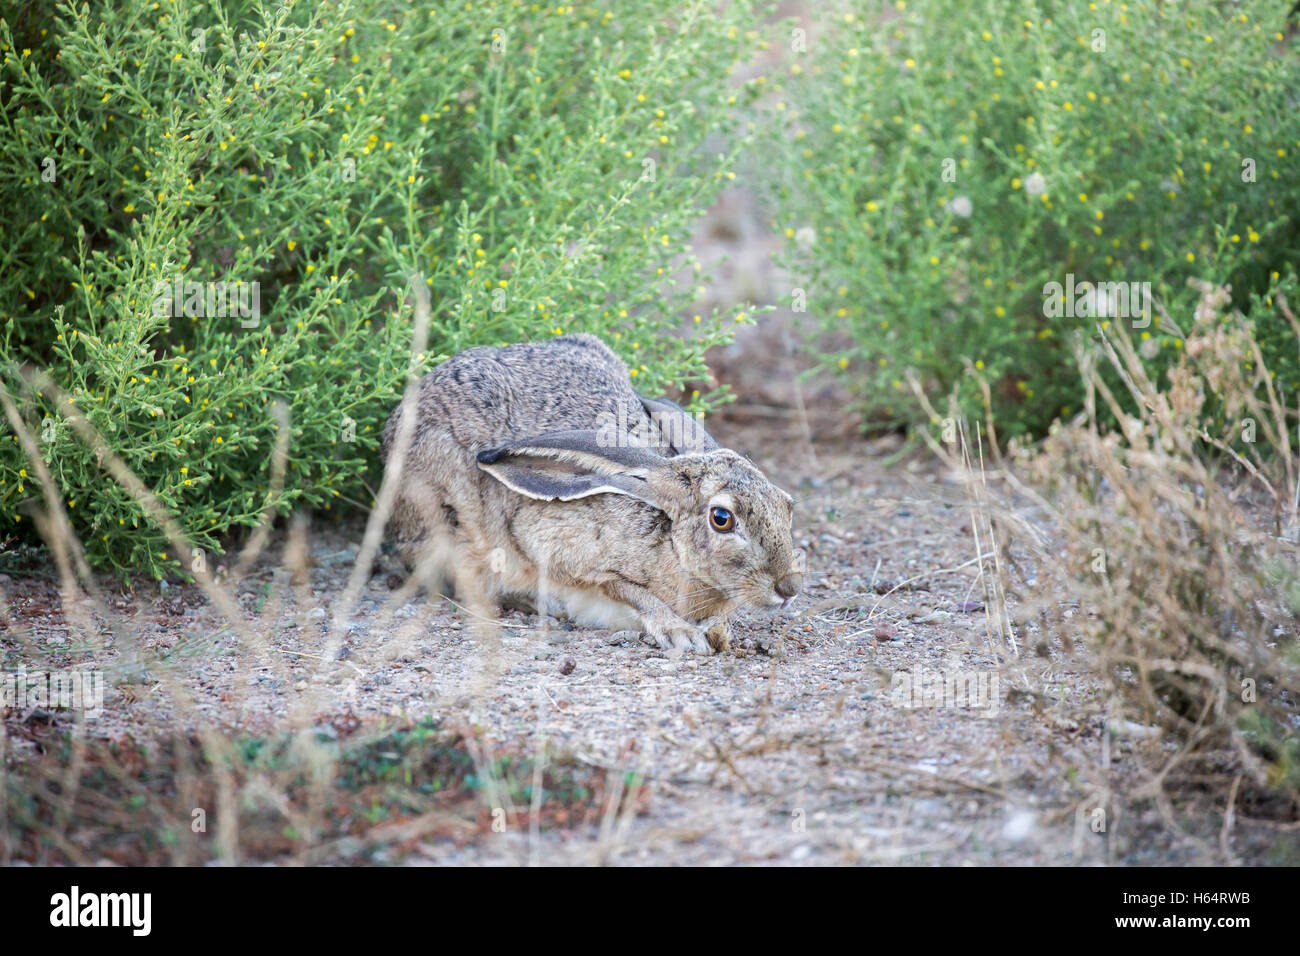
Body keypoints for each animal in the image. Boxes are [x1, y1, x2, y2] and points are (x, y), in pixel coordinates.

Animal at [380, 333, 802, 654]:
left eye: (787, 506)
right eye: (722, 518)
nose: (790, 588)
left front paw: (717, 631)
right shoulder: (564, 553)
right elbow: (625, 589)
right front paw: (681, 633)